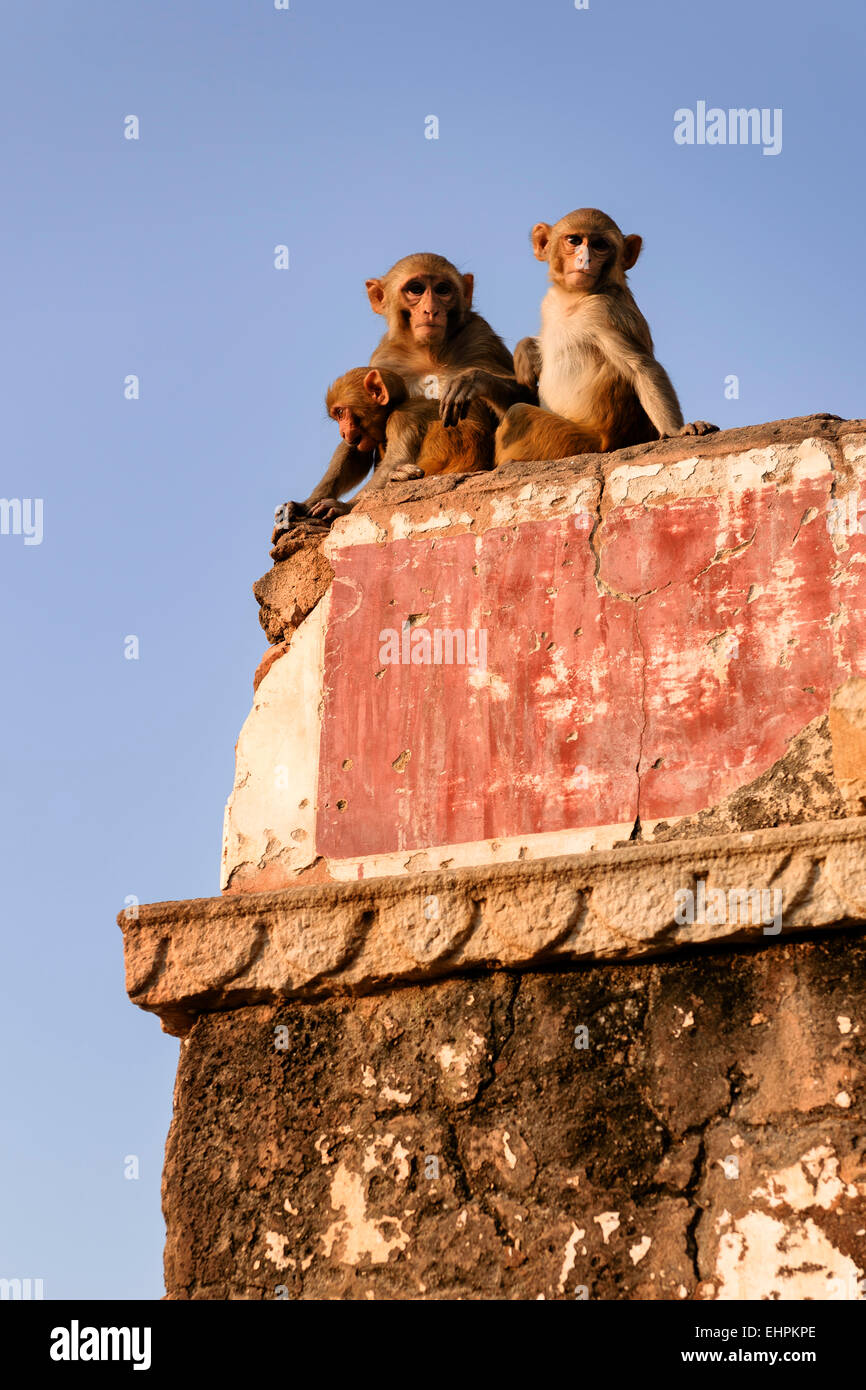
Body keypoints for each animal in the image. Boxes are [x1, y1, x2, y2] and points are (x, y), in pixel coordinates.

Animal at [273, 253, 530, 538]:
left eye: (442, 289)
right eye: (415, 289)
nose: (430, 309)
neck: (430, 353)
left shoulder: (481, 337)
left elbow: (524, 397)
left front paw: (473, 380)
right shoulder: (386, 356)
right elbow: (357, 452)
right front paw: (306, 504)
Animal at [495, 209, 717, 467]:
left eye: (600, 245)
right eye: (574, 241)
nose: (585, 260)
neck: (575, 299)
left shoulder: (603, 311)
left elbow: (642, 368)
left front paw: (676, 430)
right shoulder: (551, 303)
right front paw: (525, 351)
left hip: (576, 441)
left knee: (518, 413)